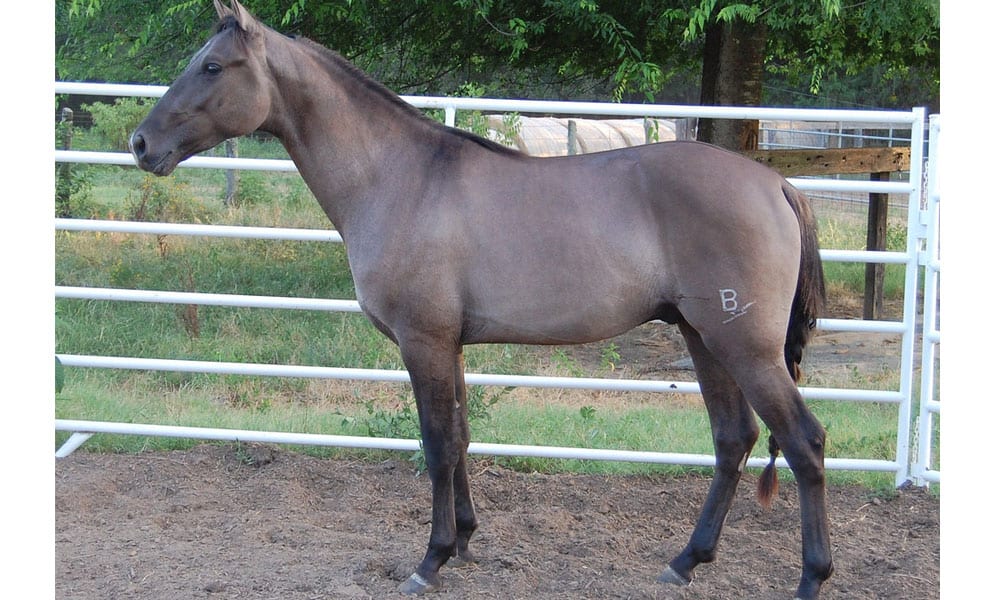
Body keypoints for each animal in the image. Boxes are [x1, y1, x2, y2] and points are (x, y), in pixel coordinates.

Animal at [130, 2, 832, 598]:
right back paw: (686, 561)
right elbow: (463, 436)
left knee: (803, 441)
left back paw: (809, 577)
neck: (400, 177)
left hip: (744, 347)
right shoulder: (453, 345)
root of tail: (775, 184)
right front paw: (464, 542)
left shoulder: (424, 343)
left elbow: (437, 444)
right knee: (734, 439)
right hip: (702, 337)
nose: (140, 143)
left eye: (213, 66)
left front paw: (431, 559)